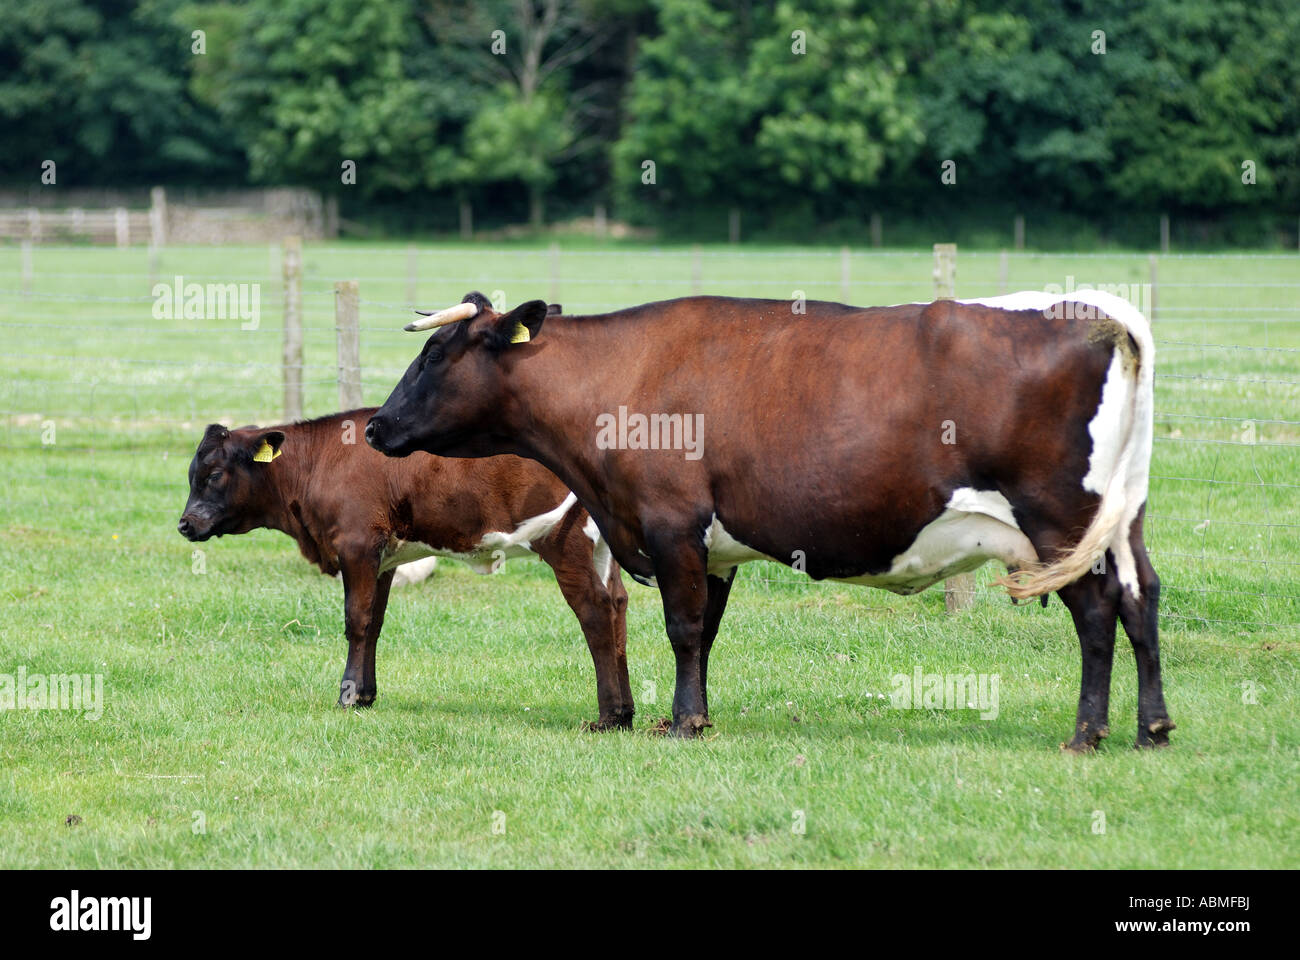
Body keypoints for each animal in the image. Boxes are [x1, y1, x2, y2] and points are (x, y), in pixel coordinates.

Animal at [177, 408, 633, 729]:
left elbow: (356, 621)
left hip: (566, 543)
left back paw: (609, 717)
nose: (185, 524)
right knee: (618, 605)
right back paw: (627, 711)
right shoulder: (383, 559)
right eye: (192, 474)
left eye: (214, 474)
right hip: (600, 550)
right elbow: (375, 622)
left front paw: (347, 696)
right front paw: (365, 694)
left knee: (594, 609)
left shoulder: (357, 546)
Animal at [364, 289, 1174, 752]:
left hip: (1059, 519)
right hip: (1119, 520)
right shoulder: (711, 548)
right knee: (1141, 598)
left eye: (434, 353)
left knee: (1097, 609)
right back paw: (1152, 727)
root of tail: (1100, 312)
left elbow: (684, 628)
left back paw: (1088, 732)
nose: (374, 426)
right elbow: (707, 632)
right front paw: (692, 713)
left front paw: (683, 723)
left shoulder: (672, 524)